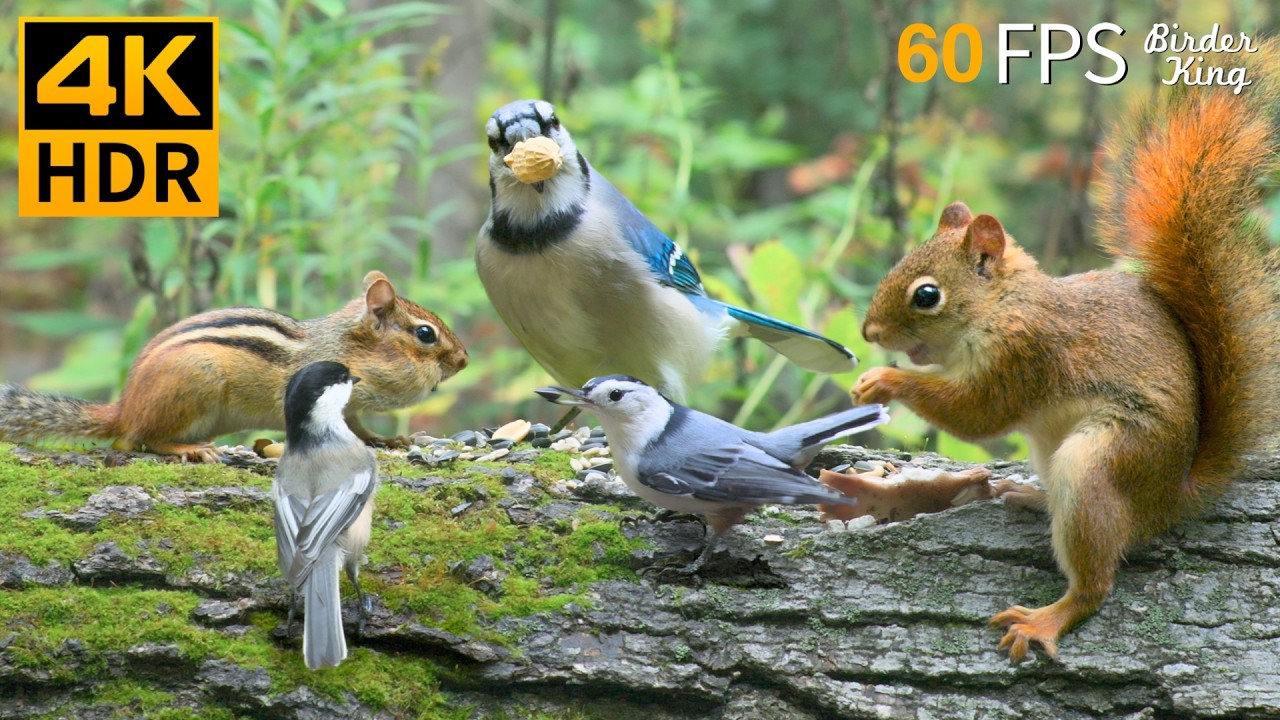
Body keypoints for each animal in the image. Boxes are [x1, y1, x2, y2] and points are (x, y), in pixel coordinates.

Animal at [0, 271, 469, 463]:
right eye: (425, 334)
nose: (464, 360)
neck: (343, 347)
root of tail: (124, 406)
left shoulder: (351, 407)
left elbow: (360, 427)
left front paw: (387, 440)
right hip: (195, 383)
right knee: (135, 441)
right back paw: (187, 448)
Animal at [851, 47, 1280, 662]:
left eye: (926, 295)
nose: (869, 331)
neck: (1002, 306)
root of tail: (1168, 497)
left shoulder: (1026, 353)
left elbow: (978, 415)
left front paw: (884, 380)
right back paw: (1030, 497)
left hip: (1101, 461)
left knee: (1096, 583)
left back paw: (1050, 617)